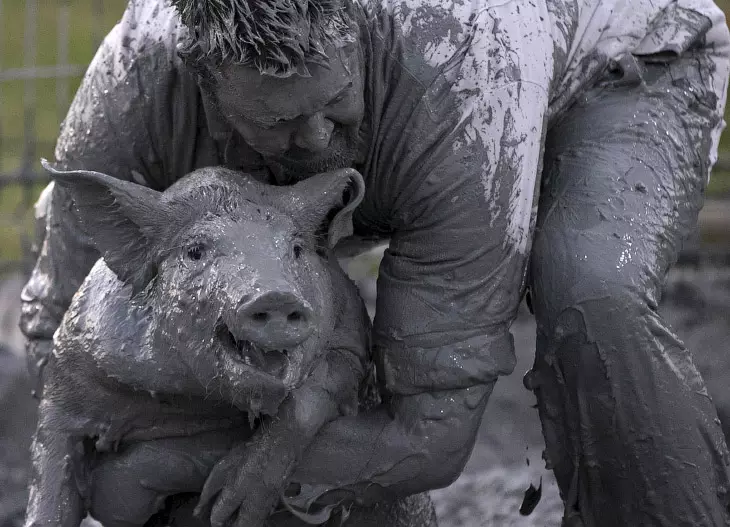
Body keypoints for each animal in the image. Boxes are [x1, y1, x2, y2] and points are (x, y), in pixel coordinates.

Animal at [24, 162, 438, 527]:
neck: (199, 401)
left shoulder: (352, 332)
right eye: (195, 251)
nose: (275, 296)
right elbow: (53, 468)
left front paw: (227, 509)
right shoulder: (70, 368)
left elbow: (314, 392)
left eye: (296, 249)